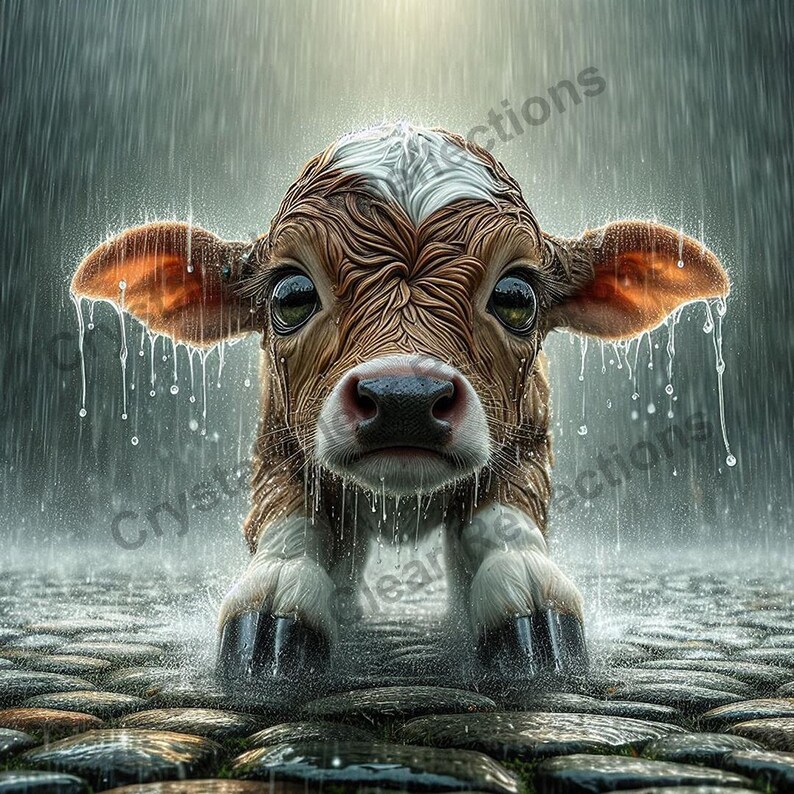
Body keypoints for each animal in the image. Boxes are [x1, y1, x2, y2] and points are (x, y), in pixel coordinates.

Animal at [71, 122, 729, 682]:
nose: (404, 398)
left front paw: (528, 600)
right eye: (290, 294)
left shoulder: (526, 441)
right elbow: (293, 524)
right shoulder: (279, 445)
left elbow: (501, 521)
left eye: (517, 296)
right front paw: (276, 601)